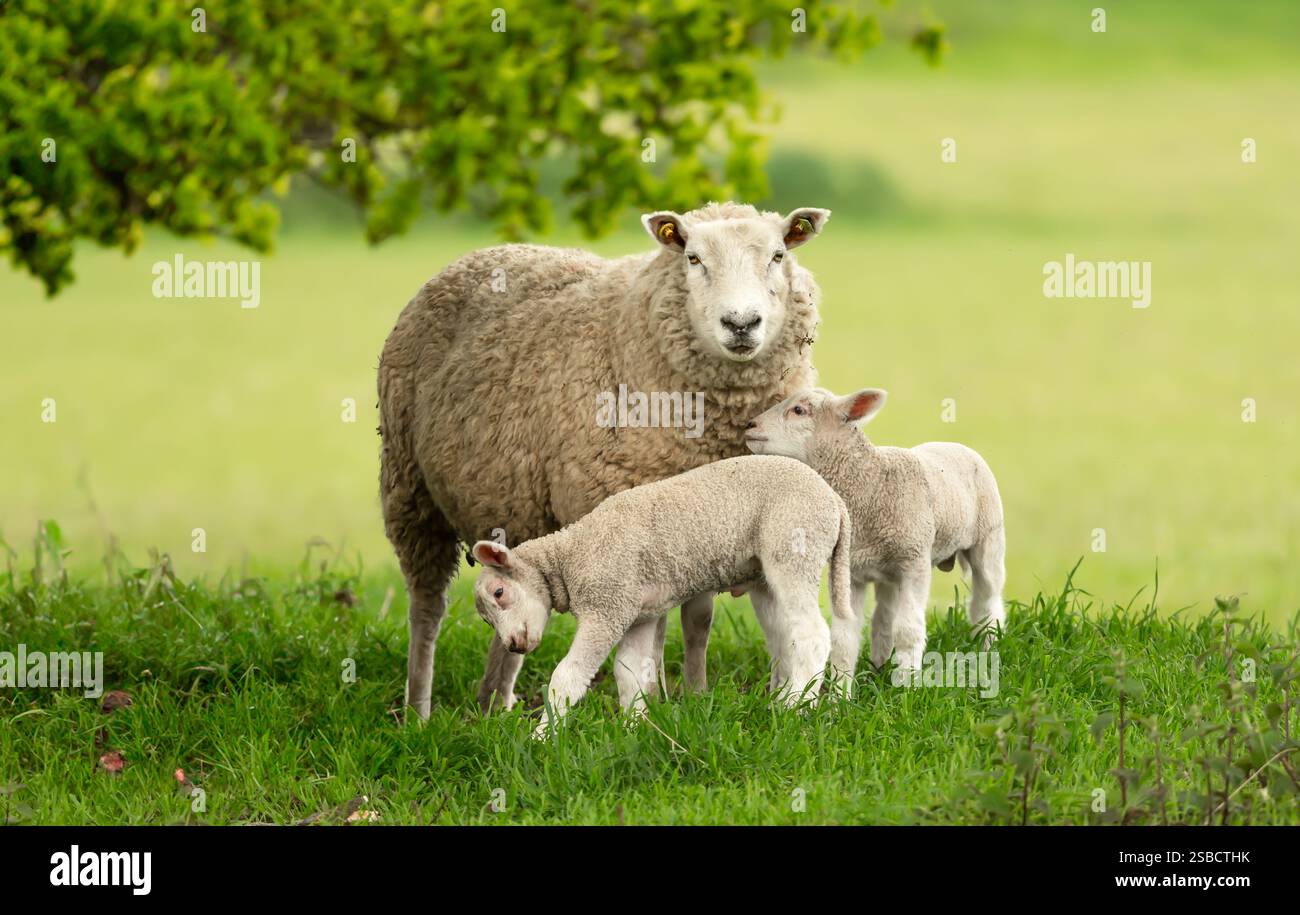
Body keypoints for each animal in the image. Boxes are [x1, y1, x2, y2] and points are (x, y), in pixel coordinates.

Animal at [378, 202, 832, 719]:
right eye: (693, 258)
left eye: (778, 255)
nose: (741, 323)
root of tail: (484, 252)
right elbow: (652, 630)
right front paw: (654, 700)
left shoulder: (704, 522)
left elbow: (697, 619)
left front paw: (693, 695)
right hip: (409, 490)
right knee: (426, 606)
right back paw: (418, 711)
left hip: (513, 510)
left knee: (512, 597)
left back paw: (494, 699)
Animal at [467, 454, 853, 735]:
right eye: (485, 619)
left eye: (500, 592)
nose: (515, 645)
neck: (570, 556)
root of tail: (835, 501)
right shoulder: (639, 613)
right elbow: (629, 673)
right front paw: (634, 728)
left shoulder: (607, 607)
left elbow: (567, 676)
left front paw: (542, 737)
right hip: (768, 574)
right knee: (790, 638)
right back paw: (785, 700)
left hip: (794, 549)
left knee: (813, 635)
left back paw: (796, 707)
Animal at [744, 387, 1006, 692]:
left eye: (799, 410)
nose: (750, 425)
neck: (872, 484)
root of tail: (956, 444)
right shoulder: (851, 572)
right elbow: (845, 638)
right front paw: (839, 696)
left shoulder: (915, 561)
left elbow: (907, 630)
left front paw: (908, 689)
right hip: (888, 573)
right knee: (883, 620)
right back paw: (880, 668)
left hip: (988, 539)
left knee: (987, 600)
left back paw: (989, 647)